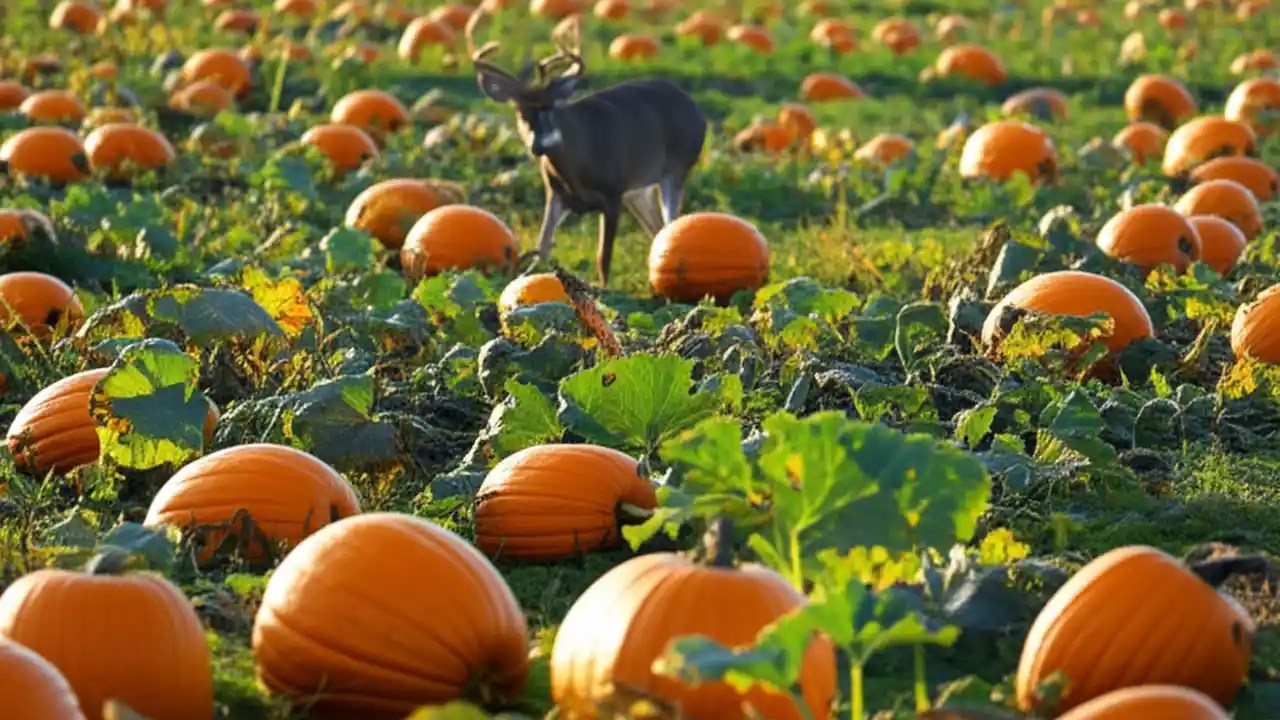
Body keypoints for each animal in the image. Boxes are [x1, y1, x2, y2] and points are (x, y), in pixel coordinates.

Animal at [466, 10, 708, 286]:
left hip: (677, 167)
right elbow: (543, 245)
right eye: (521, 113)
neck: (577, 171)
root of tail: (695, 109)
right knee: (656, 228)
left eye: (554, 106)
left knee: (670, 223)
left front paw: (603, 290)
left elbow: (603, 256)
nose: (537, 145)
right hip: (638, 189)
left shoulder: (613, 193)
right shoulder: (557, 193)